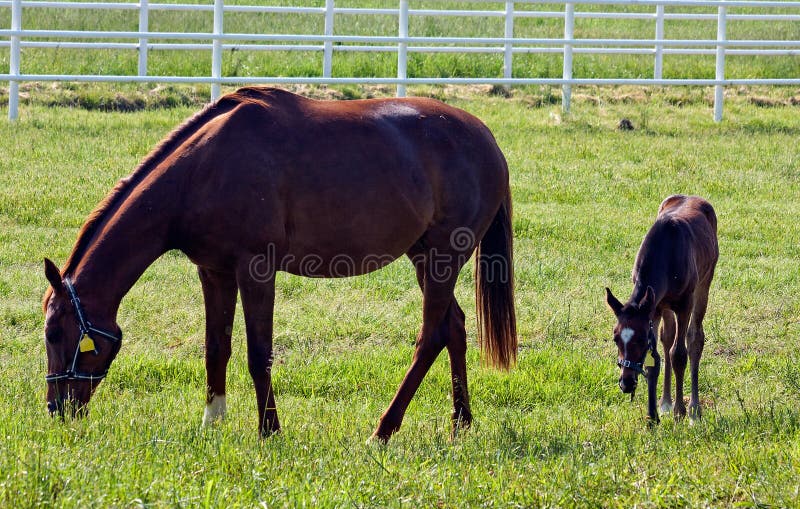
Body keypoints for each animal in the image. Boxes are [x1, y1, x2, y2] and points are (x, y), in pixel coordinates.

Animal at [41, 86, 517, 442]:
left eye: (54, 333)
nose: (56, 408)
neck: (205, 168)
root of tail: (487, 139)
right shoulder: (214, 271)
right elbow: (216, 348)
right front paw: (213, 422)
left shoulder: (256, 269)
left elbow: (259, 354)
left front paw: (269, 430)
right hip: (424, 259)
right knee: (454, 327)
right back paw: (461, 422)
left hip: (441, 259)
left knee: (430, 338)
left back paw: (383, 430)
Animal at [605, 195, 718, 423]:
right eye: (615, 338)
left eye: (640, 340)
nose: (626, 383)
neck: (665, 256)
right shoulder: (653, 307)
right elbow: (654, 361)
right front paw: (653, 415)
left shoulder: (684, 304)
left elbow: (679, 354)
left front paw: (680, 412)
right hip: (665, 306)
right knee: (668, 337)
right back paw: (665, 402)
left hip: (704, 283)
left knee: (695, 338)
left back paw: (694, 409)